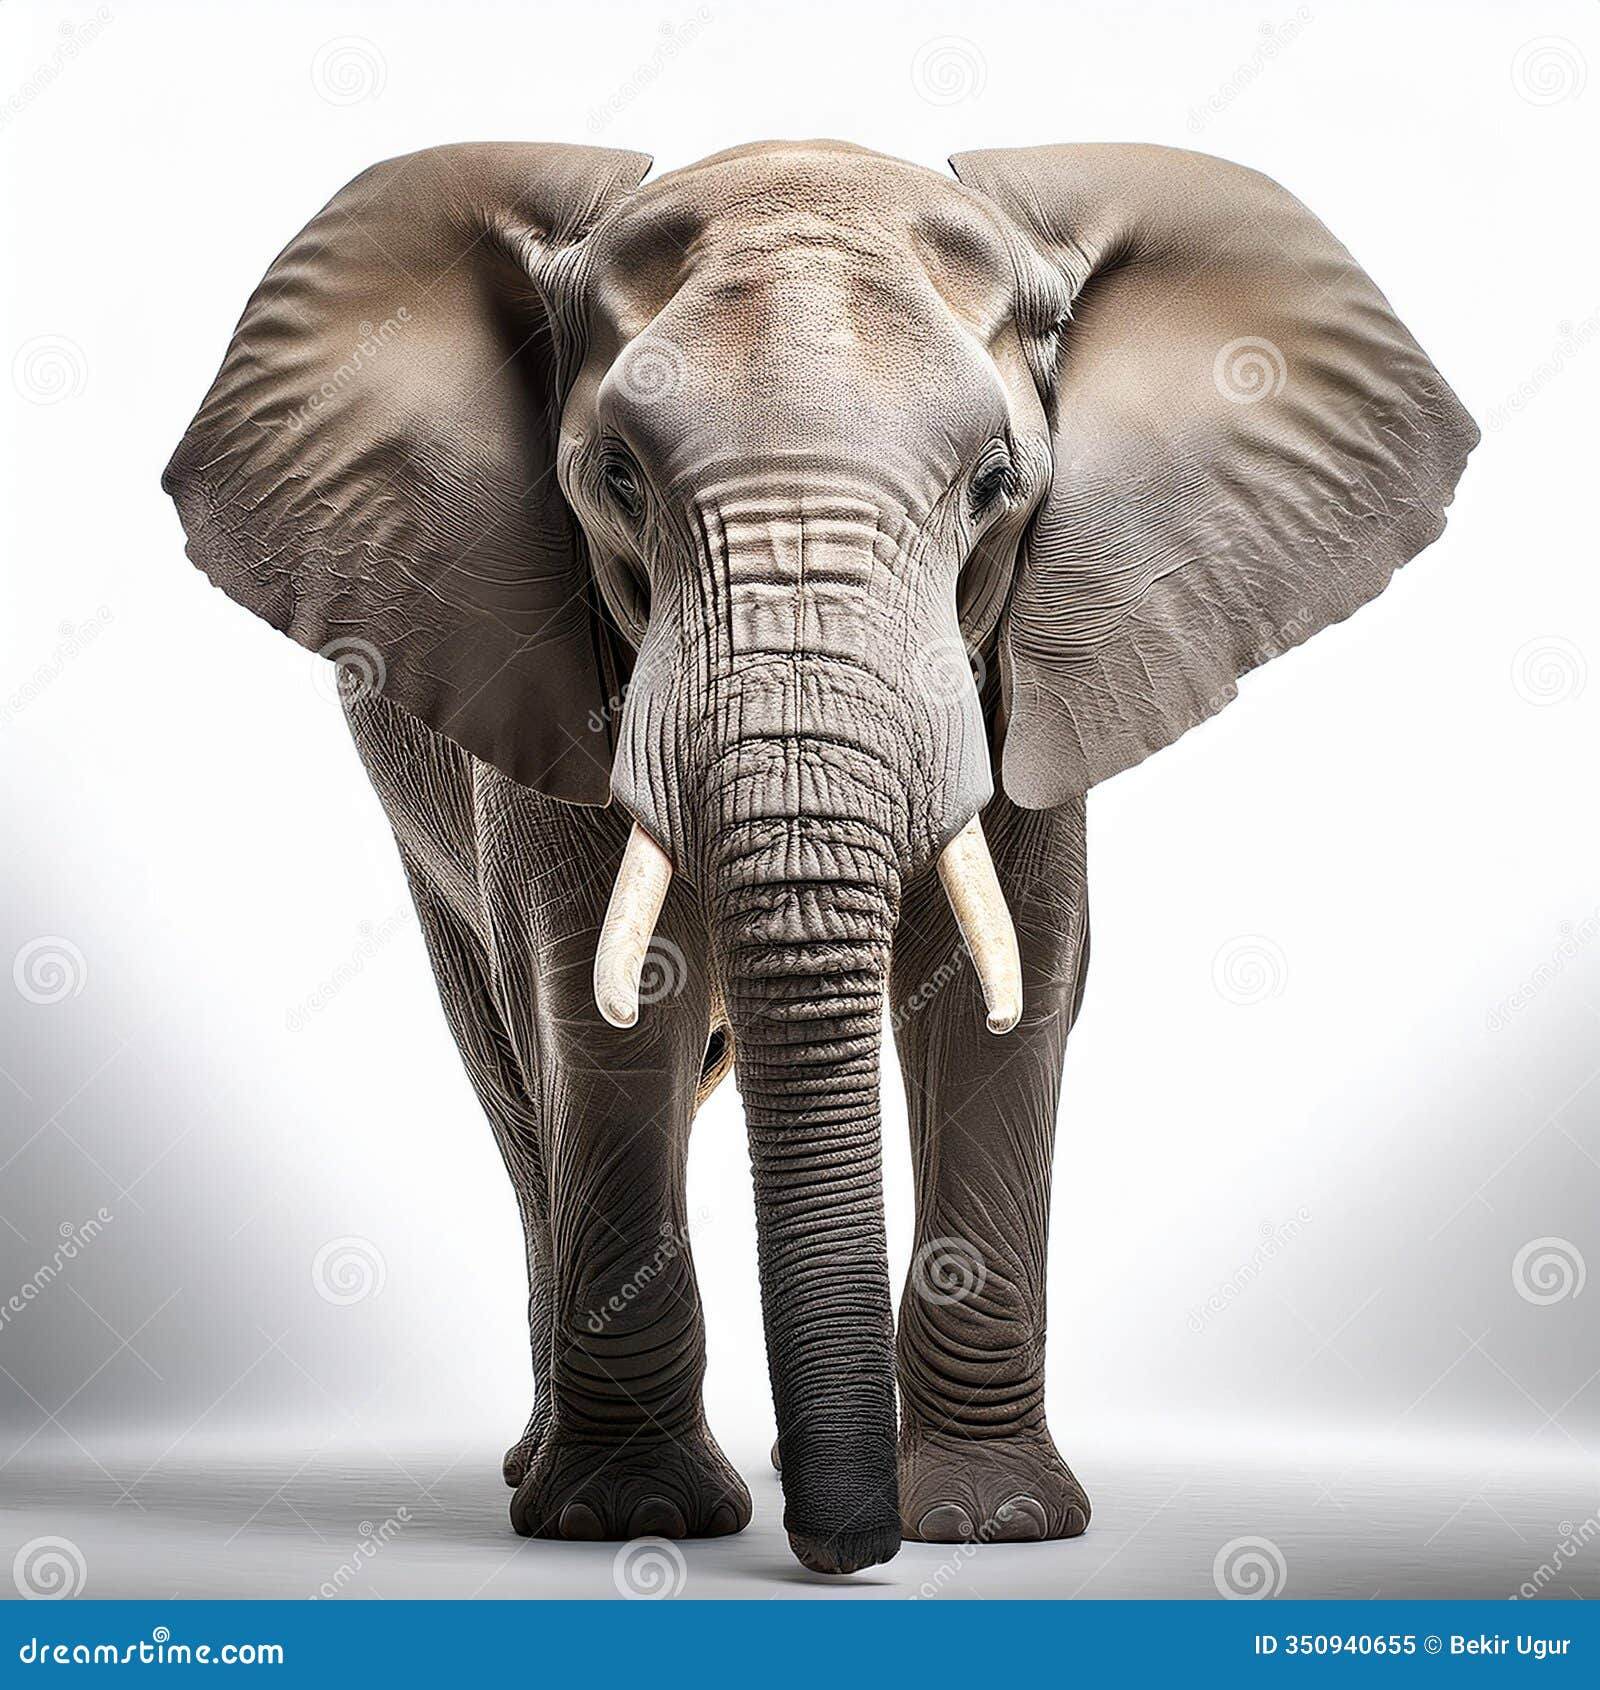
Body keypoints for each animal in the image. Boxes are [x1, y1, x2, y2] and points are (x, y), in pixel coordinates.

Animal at [162, 139, 1475, 1575]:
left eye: (994, 486)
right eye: (615, 478)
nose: (847, 1548)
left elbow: (1004, 995)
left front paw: (989, 1524)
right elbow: (609, 1007)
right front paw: (636, 1517)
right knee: (510, 1063)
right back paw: (538, 1472)